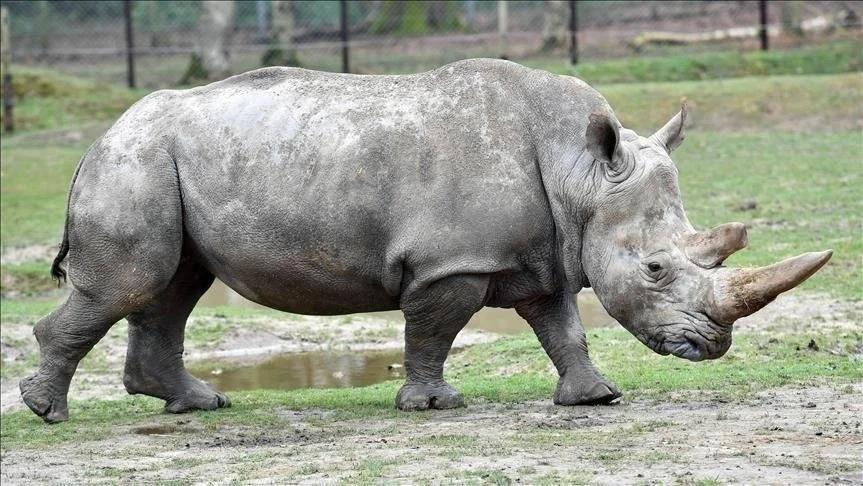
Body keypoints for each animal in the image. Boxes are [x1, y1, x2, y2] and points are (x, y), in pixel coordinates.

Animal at [20, 59, 831, 423]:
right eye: (658, 267)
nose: (713, 346)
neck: (581, 173)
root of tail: (99, 137)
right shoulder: (452, 263)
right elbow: (436, 327)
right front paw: (433, 405)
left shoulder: (542, 252)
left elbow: (561, 325)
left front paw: (594, 397)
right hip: (136, 162)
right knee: (135, 280)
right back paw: (48, 412)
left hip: (160, 164)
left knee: (174, 284)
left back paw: (198, 406)